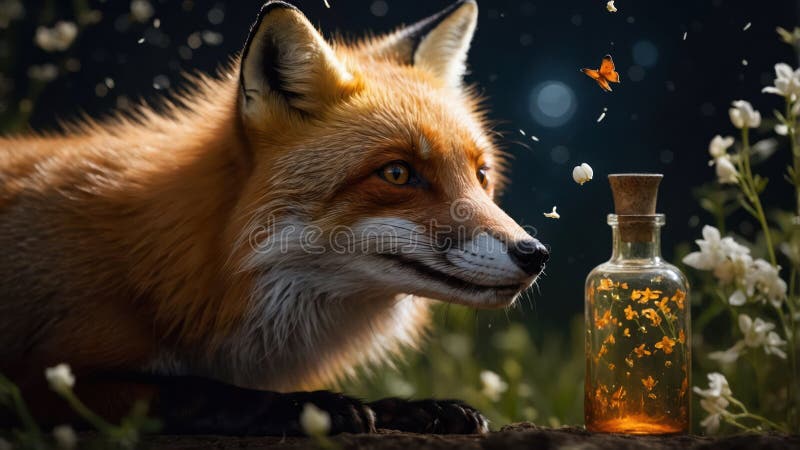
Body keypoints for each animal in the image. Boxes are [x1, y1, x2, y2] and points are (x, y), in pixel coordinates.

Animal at [0, 0, 549, 436]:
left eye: (480, 175)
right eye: (397, 173)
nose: (536, 254)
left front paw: (411, 408)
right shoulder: (45, 379)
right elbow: (197, 392)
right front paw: (308, 407)